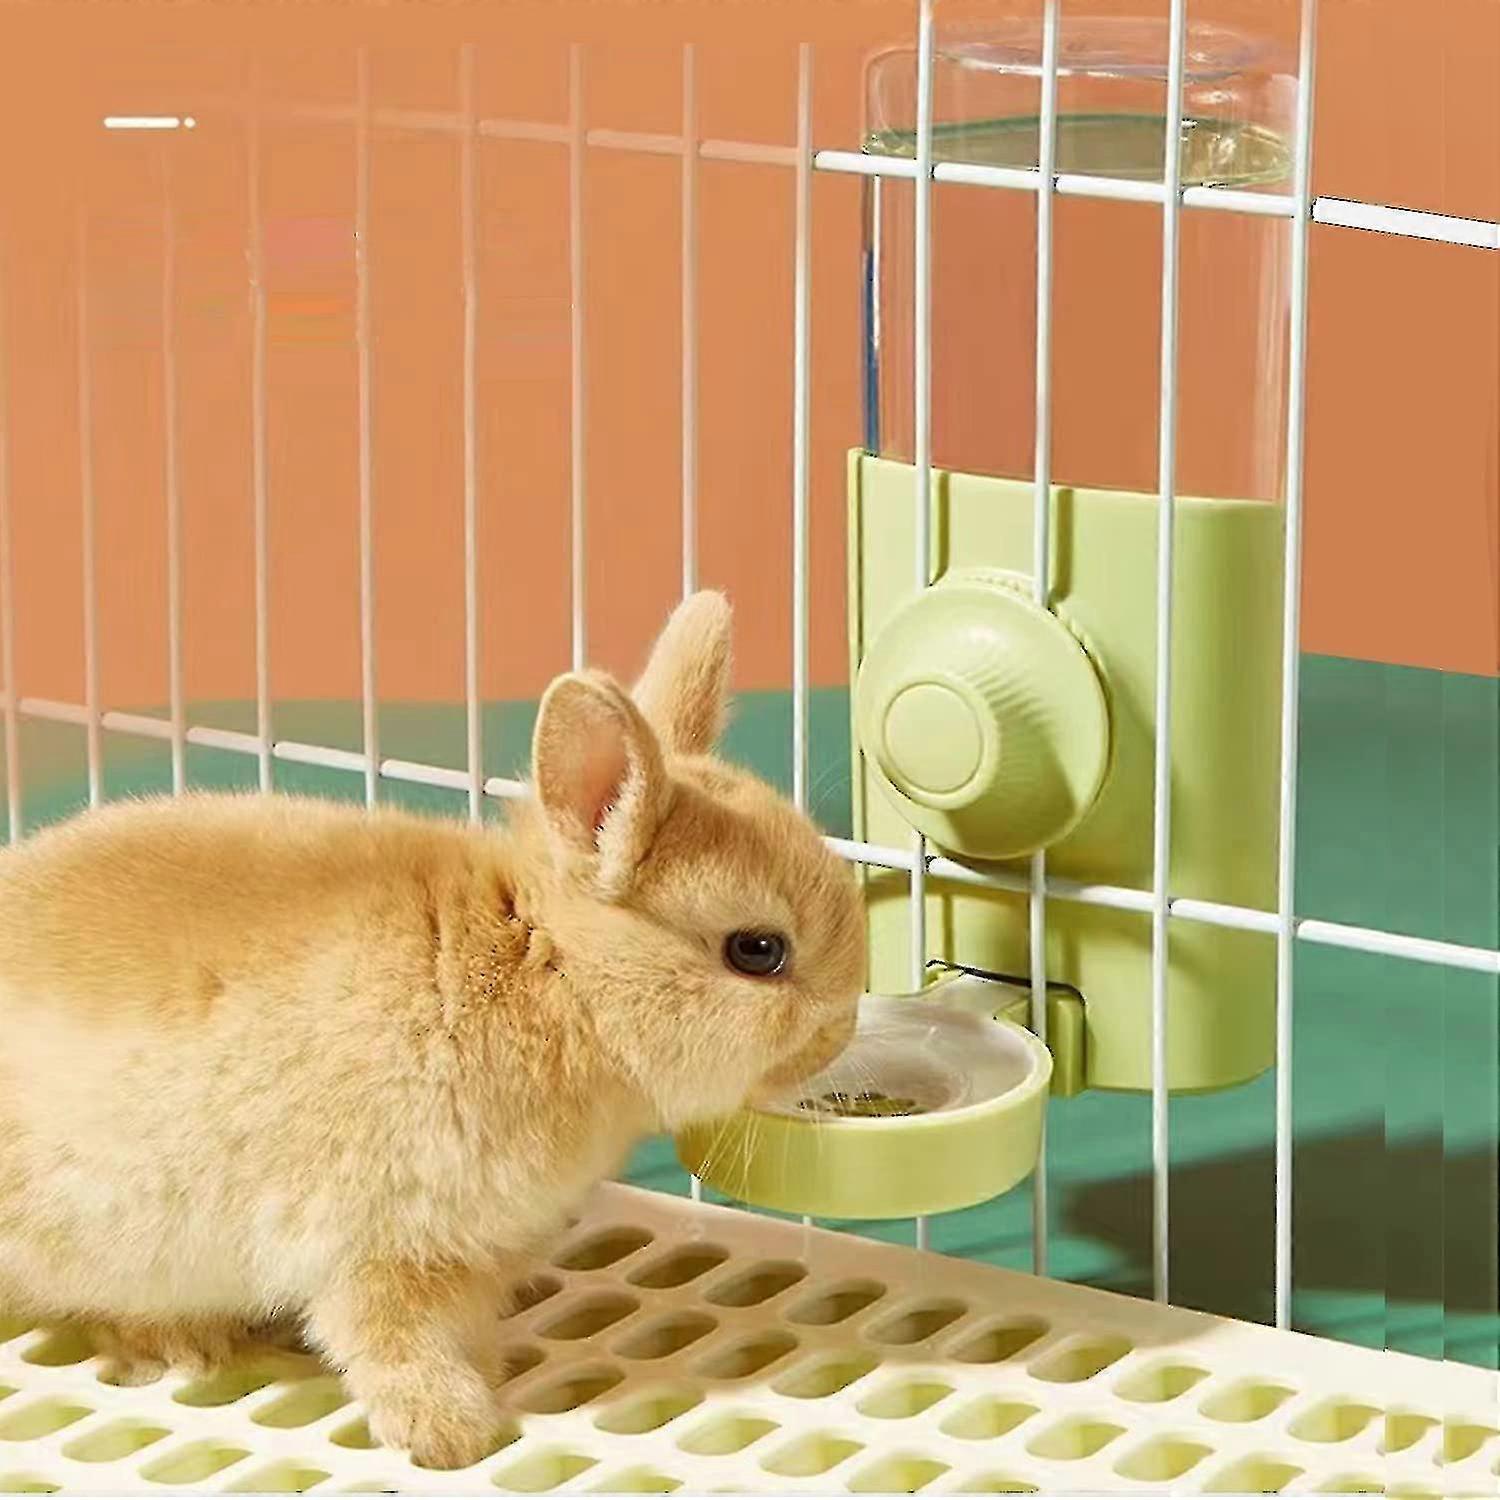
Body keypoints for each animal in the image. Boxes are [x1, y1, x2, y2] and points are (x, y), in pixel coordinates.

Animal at [0, 590, 865, 1470]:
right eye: (757, 951)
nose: (841, 1031)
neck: (551, 976)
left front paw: (484, 1381)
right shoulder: (379, 1245)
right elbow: (388, 1341)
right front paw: (453, 1436)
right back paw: (183, 1346)